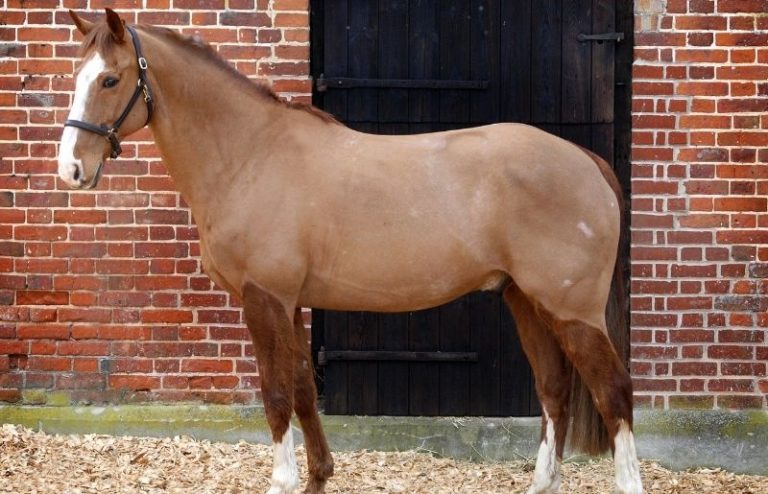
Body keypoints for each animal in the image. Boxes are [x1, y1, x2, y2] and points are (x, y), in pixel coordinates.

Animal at [57, 9, 643, 494]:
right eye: (75, 76)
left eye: (110, 79)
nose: (71, 169)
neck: (250, 154)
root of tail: (587, 160)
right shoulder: (291, 302)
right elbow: (301, 389)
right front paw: (319, 476)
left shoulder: (263, 298)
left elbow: (275, 395)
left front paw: (284, 482)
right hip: (525, 299)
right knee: (554, 389)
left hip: (573, 310)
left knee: (613, 391)